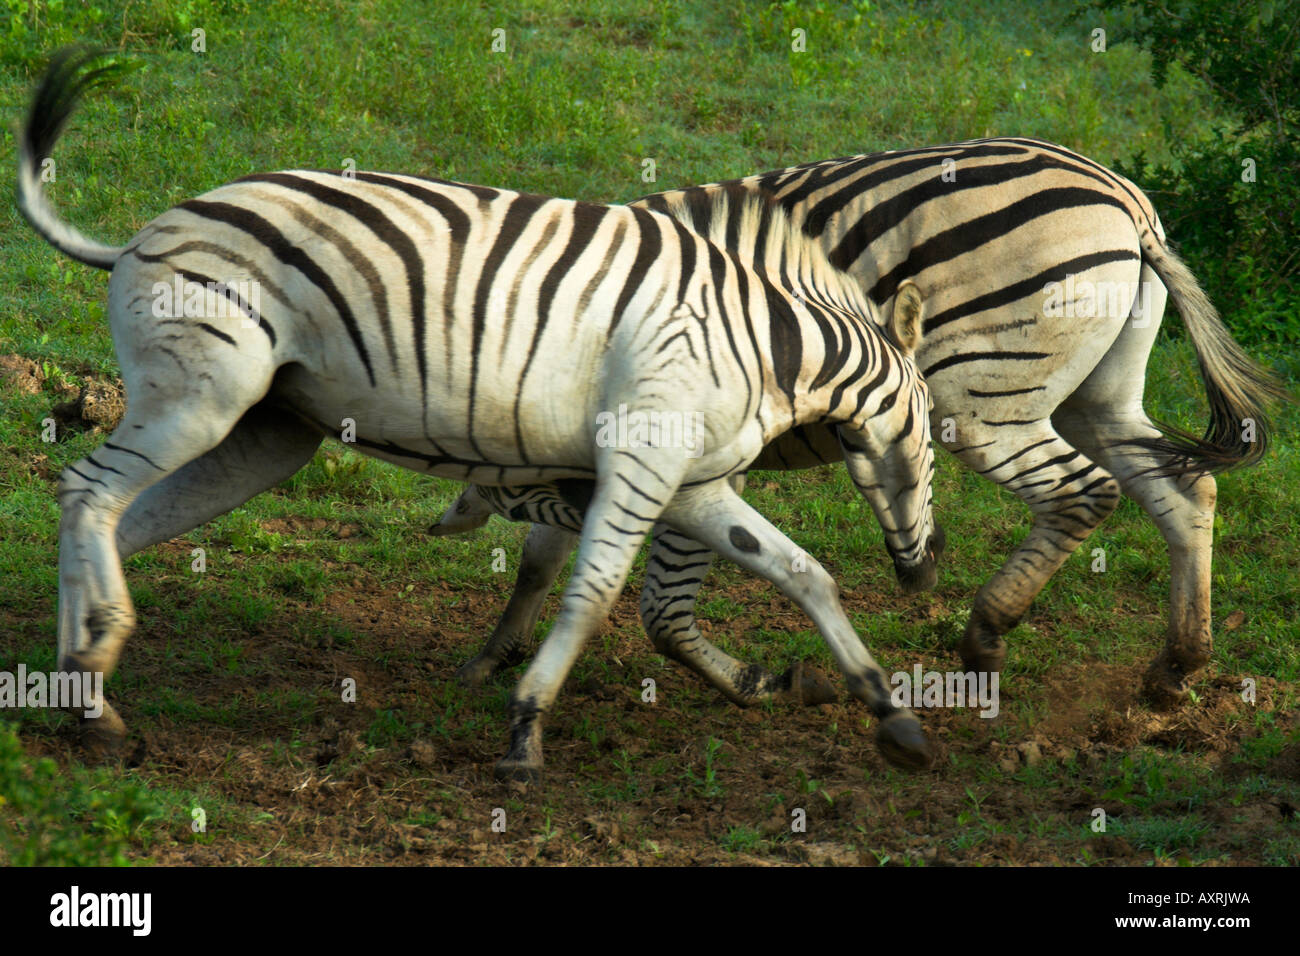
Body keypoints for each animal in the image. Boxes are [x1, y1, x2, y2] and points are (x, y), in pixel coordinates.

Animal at [19, 50, 942, 779]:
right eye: (935, 438)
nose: (926, 574)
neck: (765, 347)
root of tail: (140, 234)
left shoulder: (690, 483)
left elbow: (800, 571)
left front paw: (891, 714)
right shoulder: (643, 457)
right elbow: (592, 594)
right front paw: (525, 731)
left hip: (265, 434)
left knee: (116, 521)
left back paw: (80, 685)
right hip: (200, 399)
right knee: (87, 492)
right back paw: (94, 686)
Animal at [439, 138, 1287, 708]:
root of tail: (1125, 201)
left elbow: (658, 604)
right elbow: (542, 559)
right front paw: (493, 655)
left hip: (985, 399)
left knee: (1082, 494)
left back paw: (985, 637)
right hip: (1098, 398)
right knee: (1185, 492)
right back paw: (1176, 668)